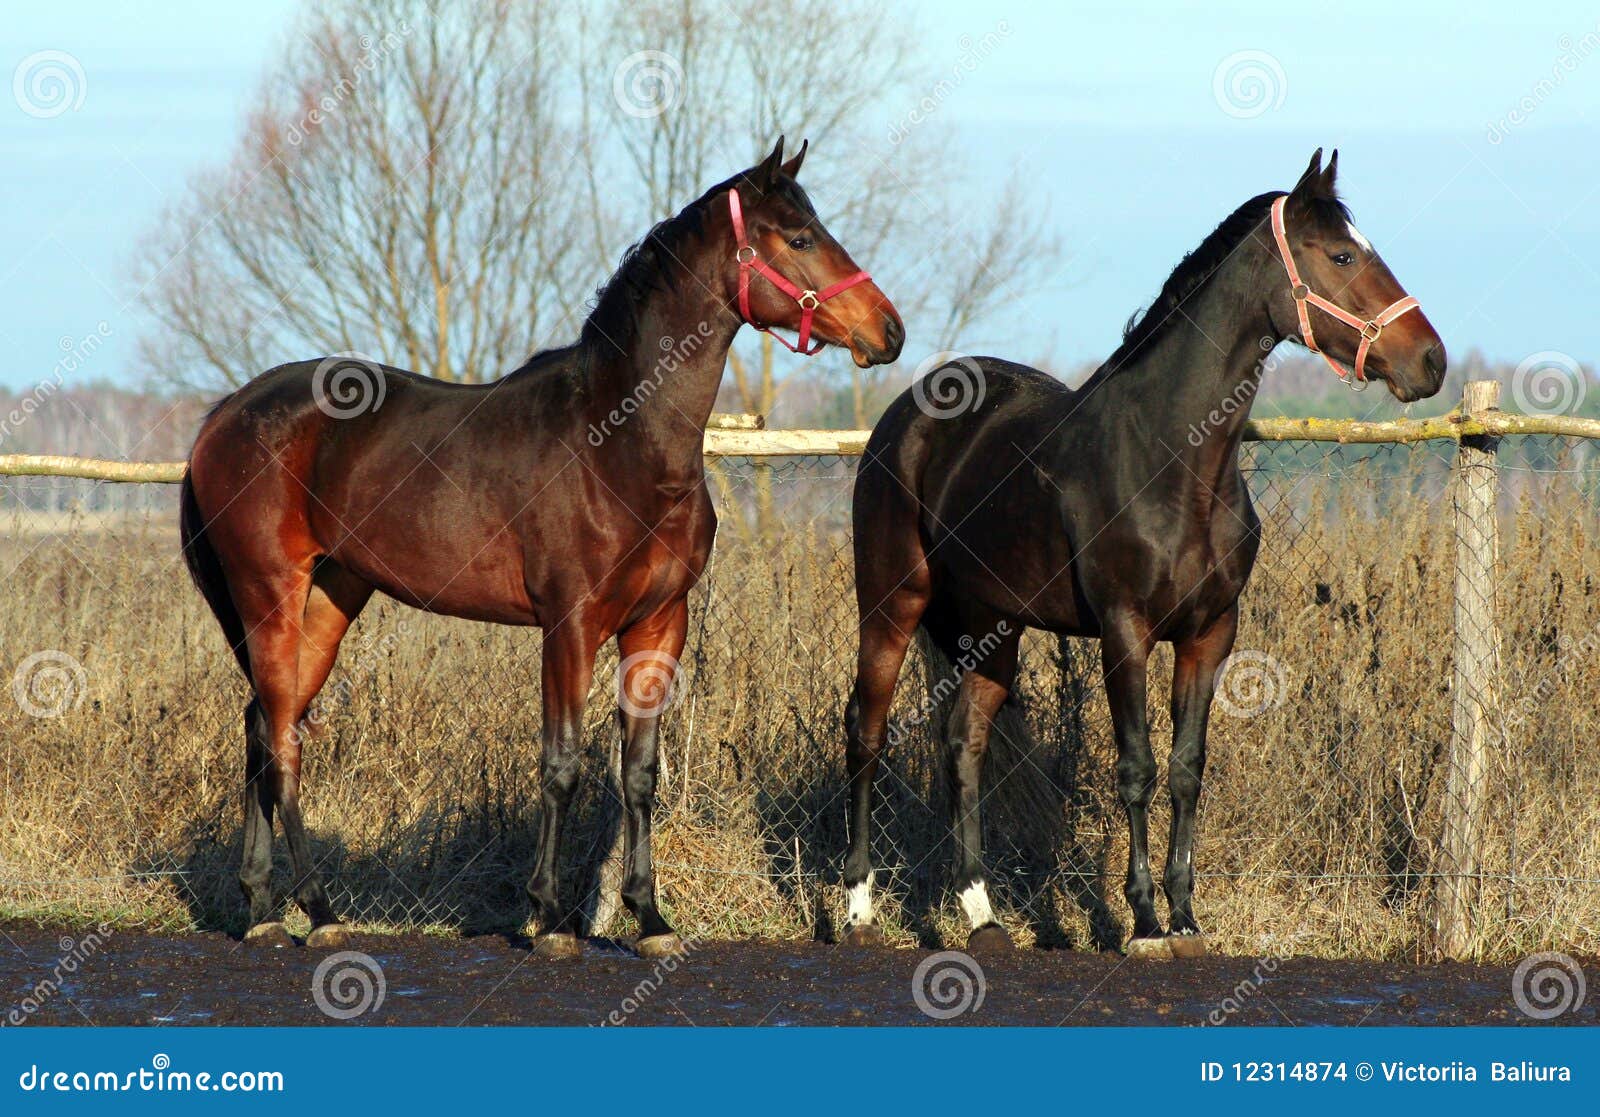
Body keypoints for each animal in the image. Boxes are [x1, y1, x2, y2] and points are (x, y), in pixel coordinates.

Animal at [181, 138, 904, 959]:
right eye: (801, 237)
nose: (889, 331)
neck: (619, 436)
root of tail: (225, 414)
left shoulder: (659, 624)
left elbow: (639, 772)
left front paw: (650, 919)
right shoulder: (570, 624)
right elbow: (562, 765)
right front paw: (552, 919)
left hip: (330, 599)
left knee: (261, 728)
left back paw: (261, 907)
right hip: (270, 593)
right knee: (282, 745)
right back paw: (320, 908)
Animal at [840, 150, 1445, 958]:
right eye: (1342, 255)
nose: (1430, 361)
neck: (1171, 459)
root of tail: (907, 414)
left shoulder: (1211, 634)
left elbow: (1187, 769)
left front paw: (1186, 916)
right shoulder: (1124, 632)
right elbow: (1138, 768)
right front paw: (1145, 920)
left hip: (993, 627)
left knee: (963, 746)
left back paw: (983, 917)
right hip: (892, 605)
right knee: (867, 732)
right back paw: (857, 910)